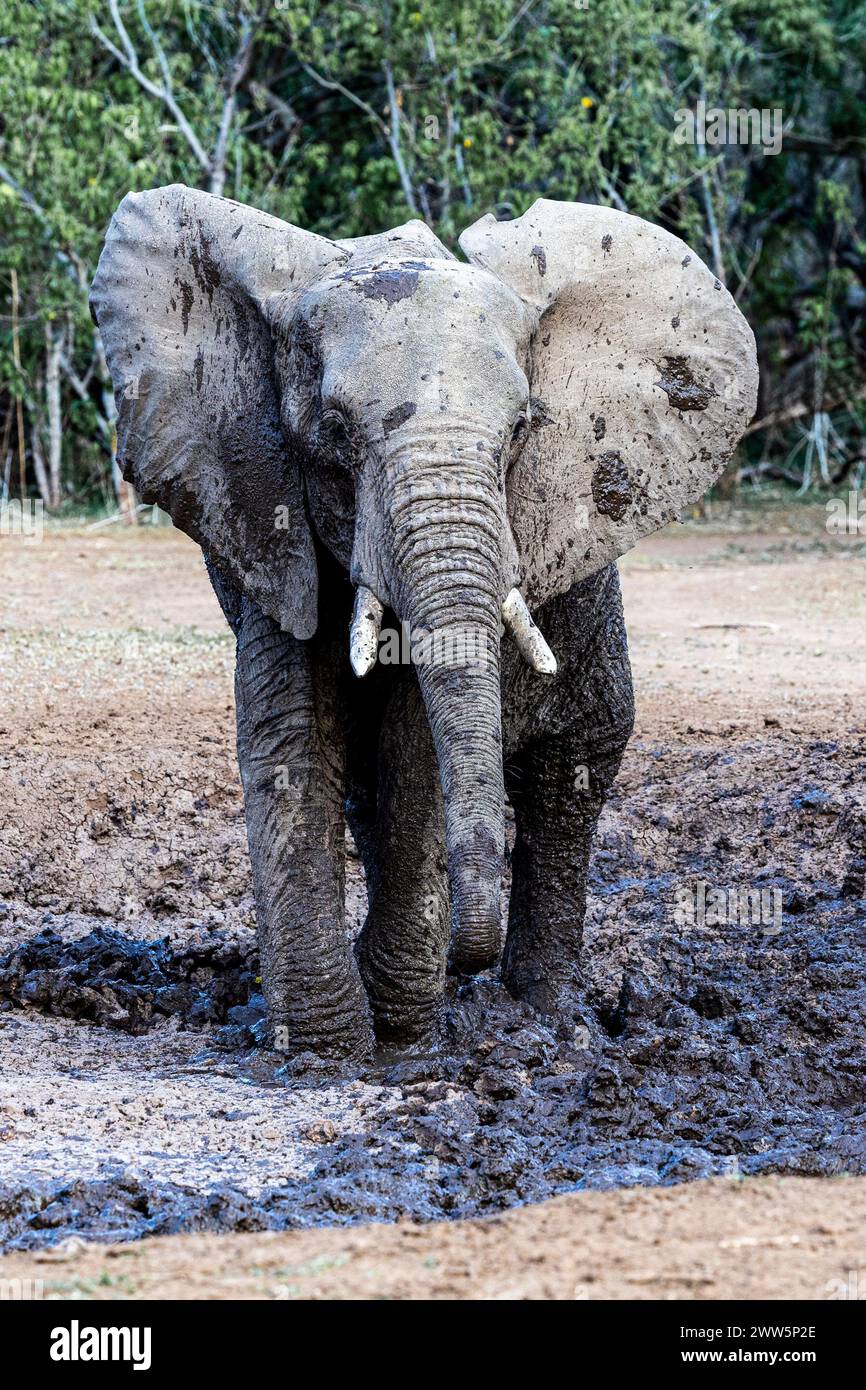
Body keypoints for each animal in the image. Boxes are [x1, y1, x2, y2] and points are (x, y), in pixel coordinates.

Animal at [90, 185, 758, 1061]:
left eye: (522, 430)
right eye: (334, 433)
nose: (463, 961)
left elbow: (414, 748)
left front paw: (403, 1034)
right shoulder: (261, 512)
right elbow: (293, 727)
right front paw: (326, 1050)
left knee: (570, 780)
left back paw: (546, 1018)